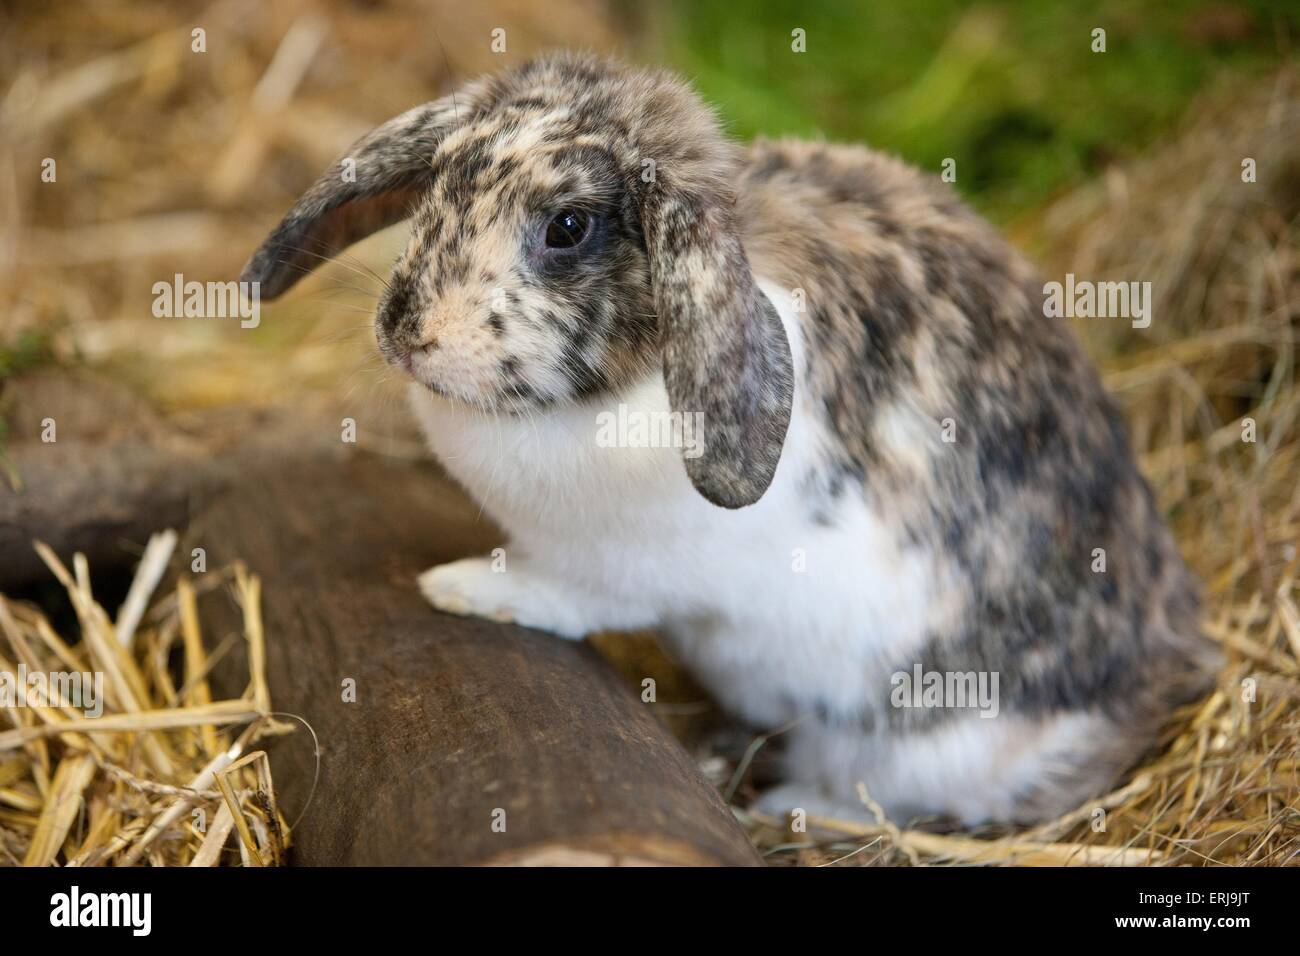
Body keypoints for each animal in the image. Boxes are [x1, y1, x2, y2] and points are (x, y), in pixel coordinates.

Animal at [243, 51, 1218, 826]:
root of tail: (1161, 674)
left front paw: (461, 587)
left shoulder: (611, 569)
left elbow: (559, 592)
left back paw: (789, 803)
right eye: (438, 183)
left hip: (918, 740)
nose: (406, 331)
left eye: (567, 228)